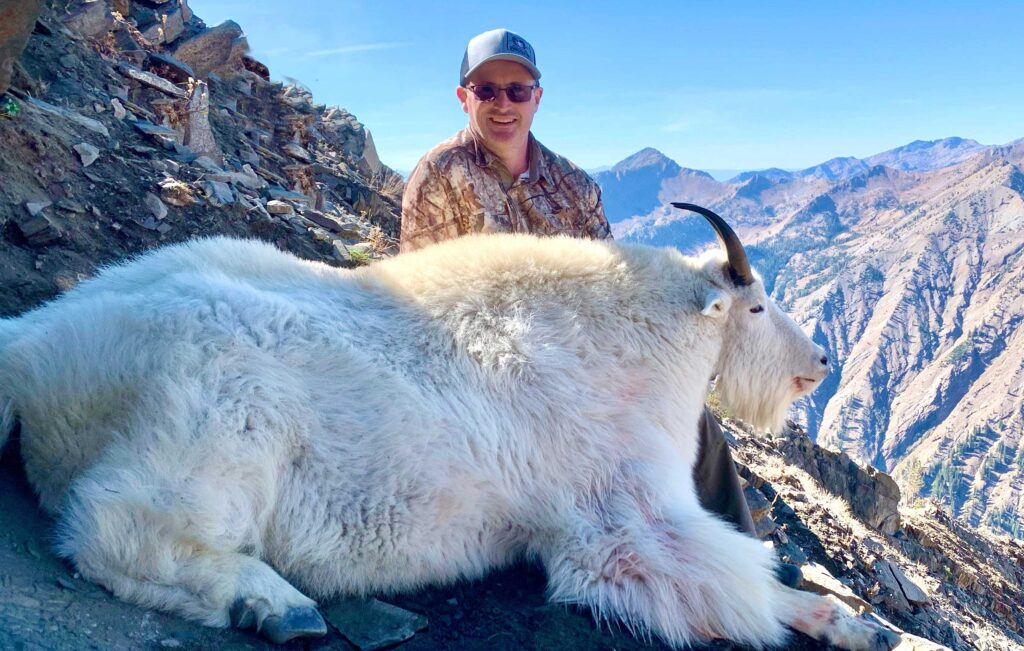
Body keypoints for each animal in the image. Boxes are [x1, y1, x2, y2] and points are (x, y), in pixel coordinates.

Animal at [0, 205, 899, 649]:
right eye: (755, 306)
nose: (821, 360)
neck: (637, 342)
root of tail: (38, 344)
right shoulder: (624, 526)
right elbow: (746, 585)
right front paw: (848, 622)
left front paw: (852, 621)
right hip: (210, 433)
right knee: (117, 529)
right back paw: (278, 605)